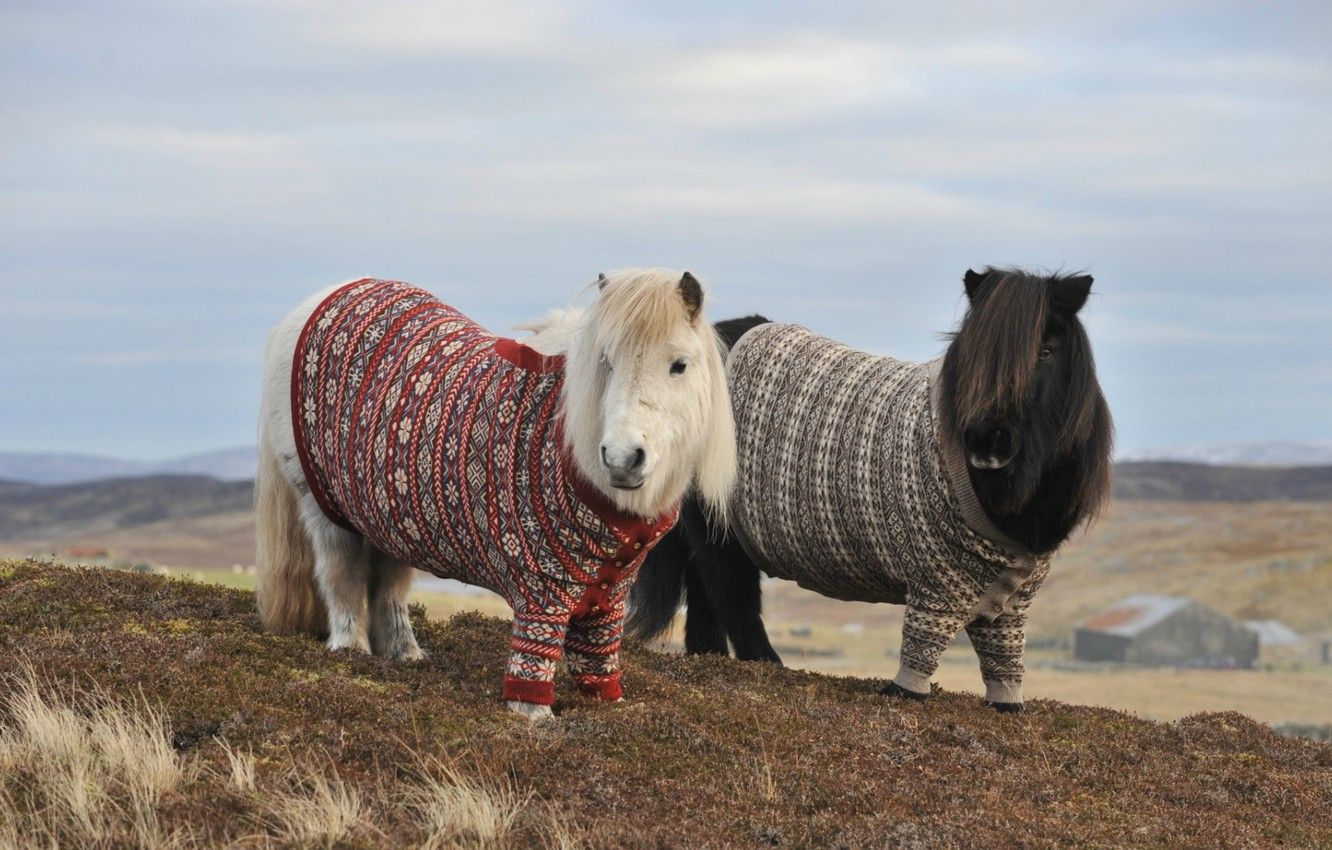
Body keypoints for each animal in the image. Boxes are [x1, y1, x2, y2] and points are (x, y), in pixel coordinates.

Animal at [255, 269, 737, 719]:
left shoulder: (609, 595)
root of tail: (325, 297)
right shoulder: (542, 590)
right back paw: (351, 651)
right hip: (324, 509)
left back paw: (405, 655)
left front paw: (609, 707)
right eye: (607, 361)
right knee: (341, 576)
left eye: (679, 365)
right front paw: (535, 717)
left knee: (388, 587)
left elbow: (598, 660)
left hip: (388, 517)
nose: (621, 458)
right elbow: (534, 661)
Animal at [628, 267, 1113, 712]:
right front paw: (904, 693)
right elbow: (920, 652)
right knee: (732, 595)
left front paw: (1007, 704)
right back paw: (767, 664)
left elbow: (1004, 661)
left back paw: (709, 658)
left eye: (1046, 351)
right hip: (721, 528)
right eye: (971, 353)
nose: (985, 442)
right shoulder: (934, 587)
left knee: (706, 593)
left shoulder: (1012, 604)